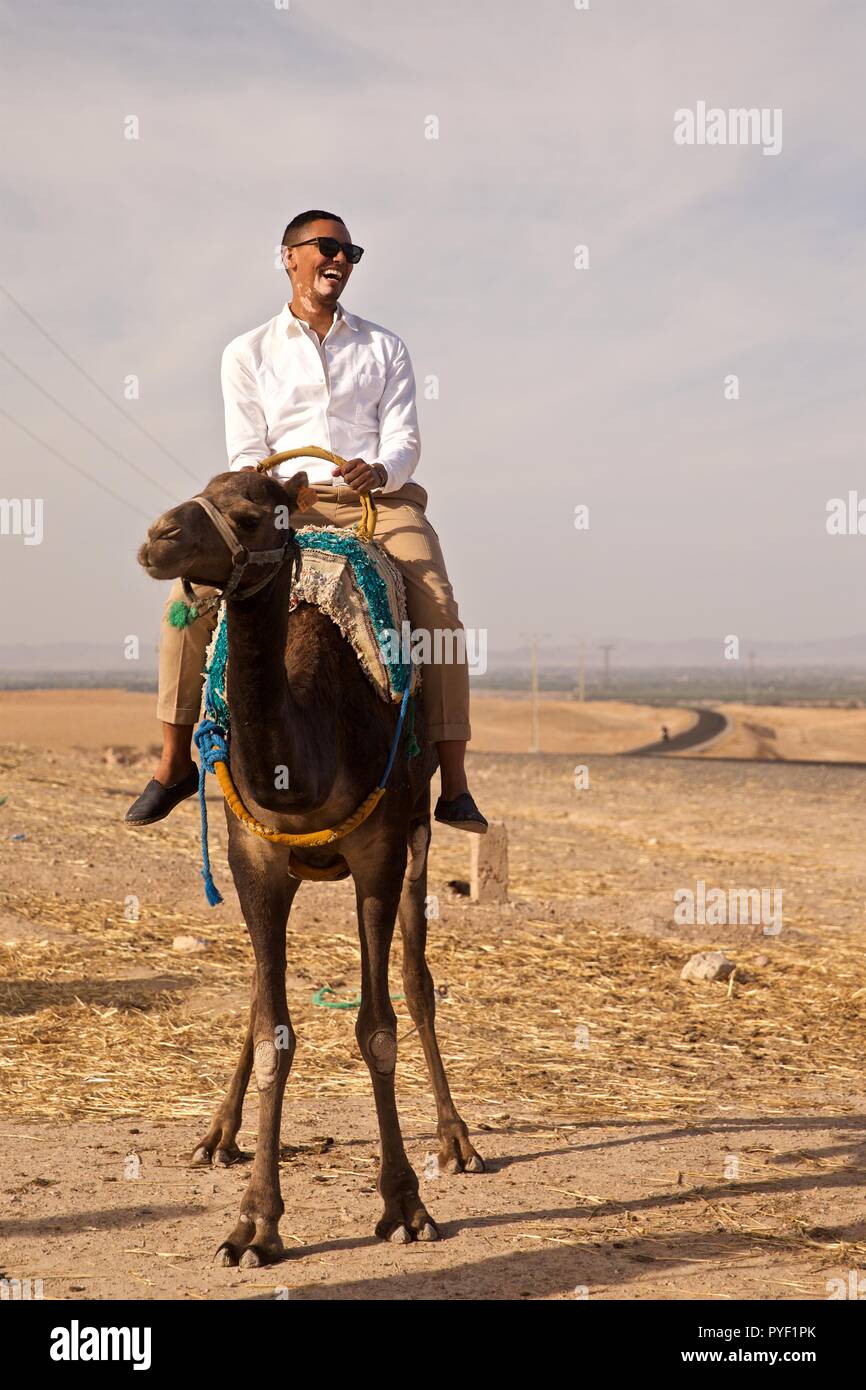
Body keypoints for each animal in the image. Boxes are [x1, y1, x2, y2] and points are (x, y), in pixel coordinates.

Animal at [138, 464, 483, 1266]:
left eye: (251, 514)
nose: (158, 537)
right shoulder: (254, 859)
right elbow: (273, 1029)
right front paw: (253, 1224)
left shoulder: (379, 850)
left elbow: (378, 1027)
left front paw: (405, 1206)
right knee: (260, 998)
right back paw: (216, 1136)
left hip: (420, 830)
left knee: (417, 981)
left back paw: (456, 1140)